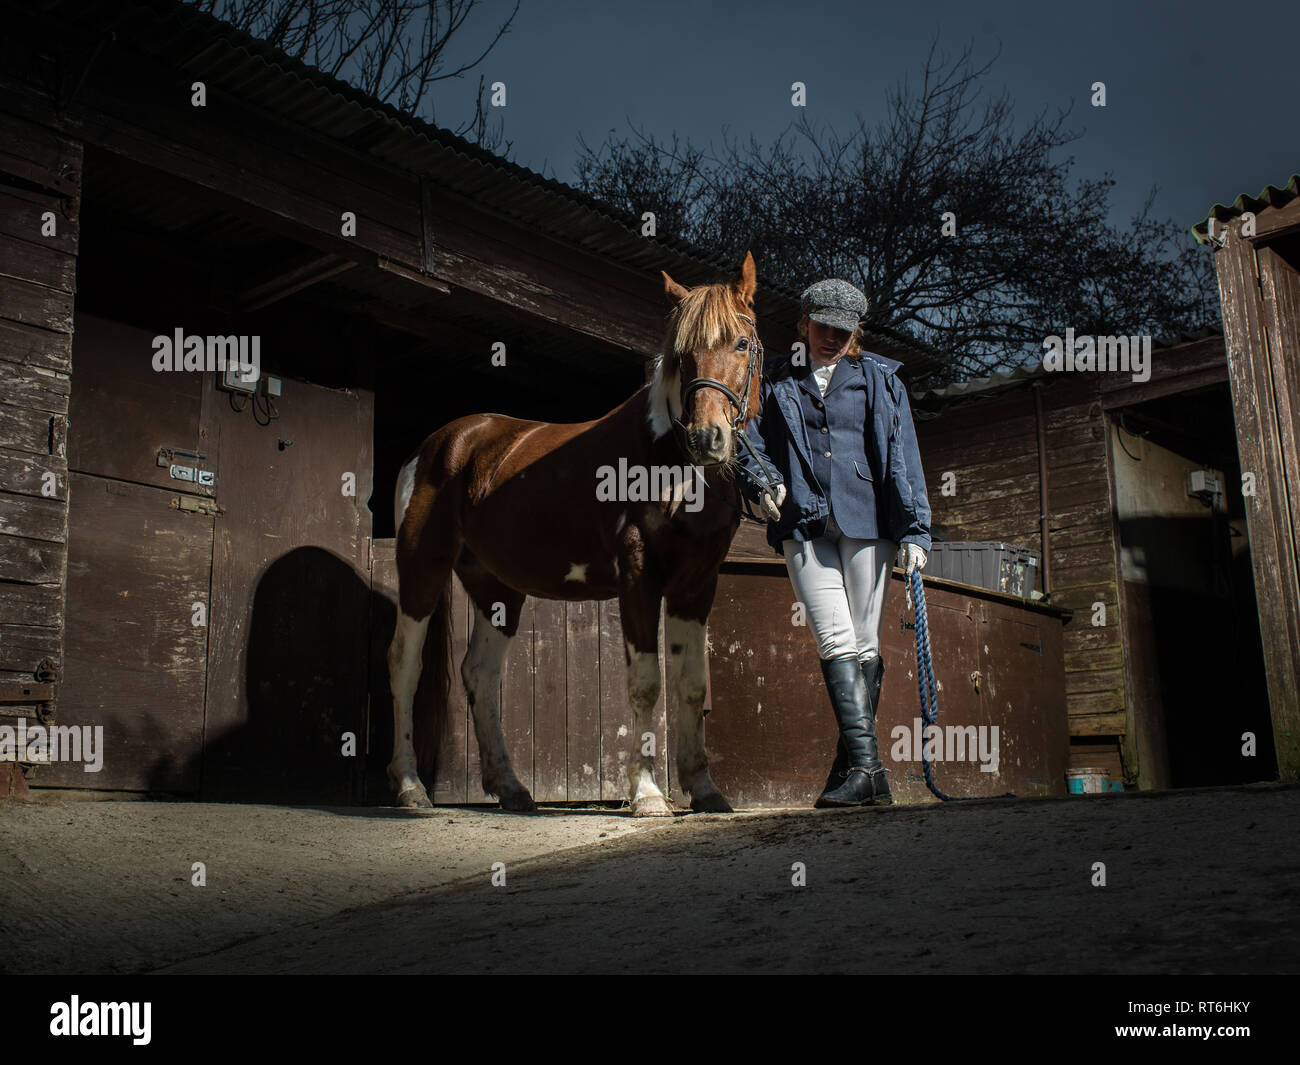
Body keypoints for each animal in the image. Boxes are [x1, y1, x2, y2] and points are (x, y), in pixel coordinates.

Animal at [386, 251, 777, 815]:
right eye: (682, 355)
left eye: (742, 344)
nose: (708, 438)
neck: (668, 461)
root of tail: (440, 445)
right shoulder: (638, 578)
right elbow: (646, 685)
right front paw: (648, 795)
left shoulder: (696, 585)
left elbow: (692, 687)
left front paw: (705, 791)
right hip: (422, 568)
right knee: (405, 666)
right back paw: (410, 787)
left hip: (496, 589)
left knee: (480, 673)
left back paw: (511, 788)